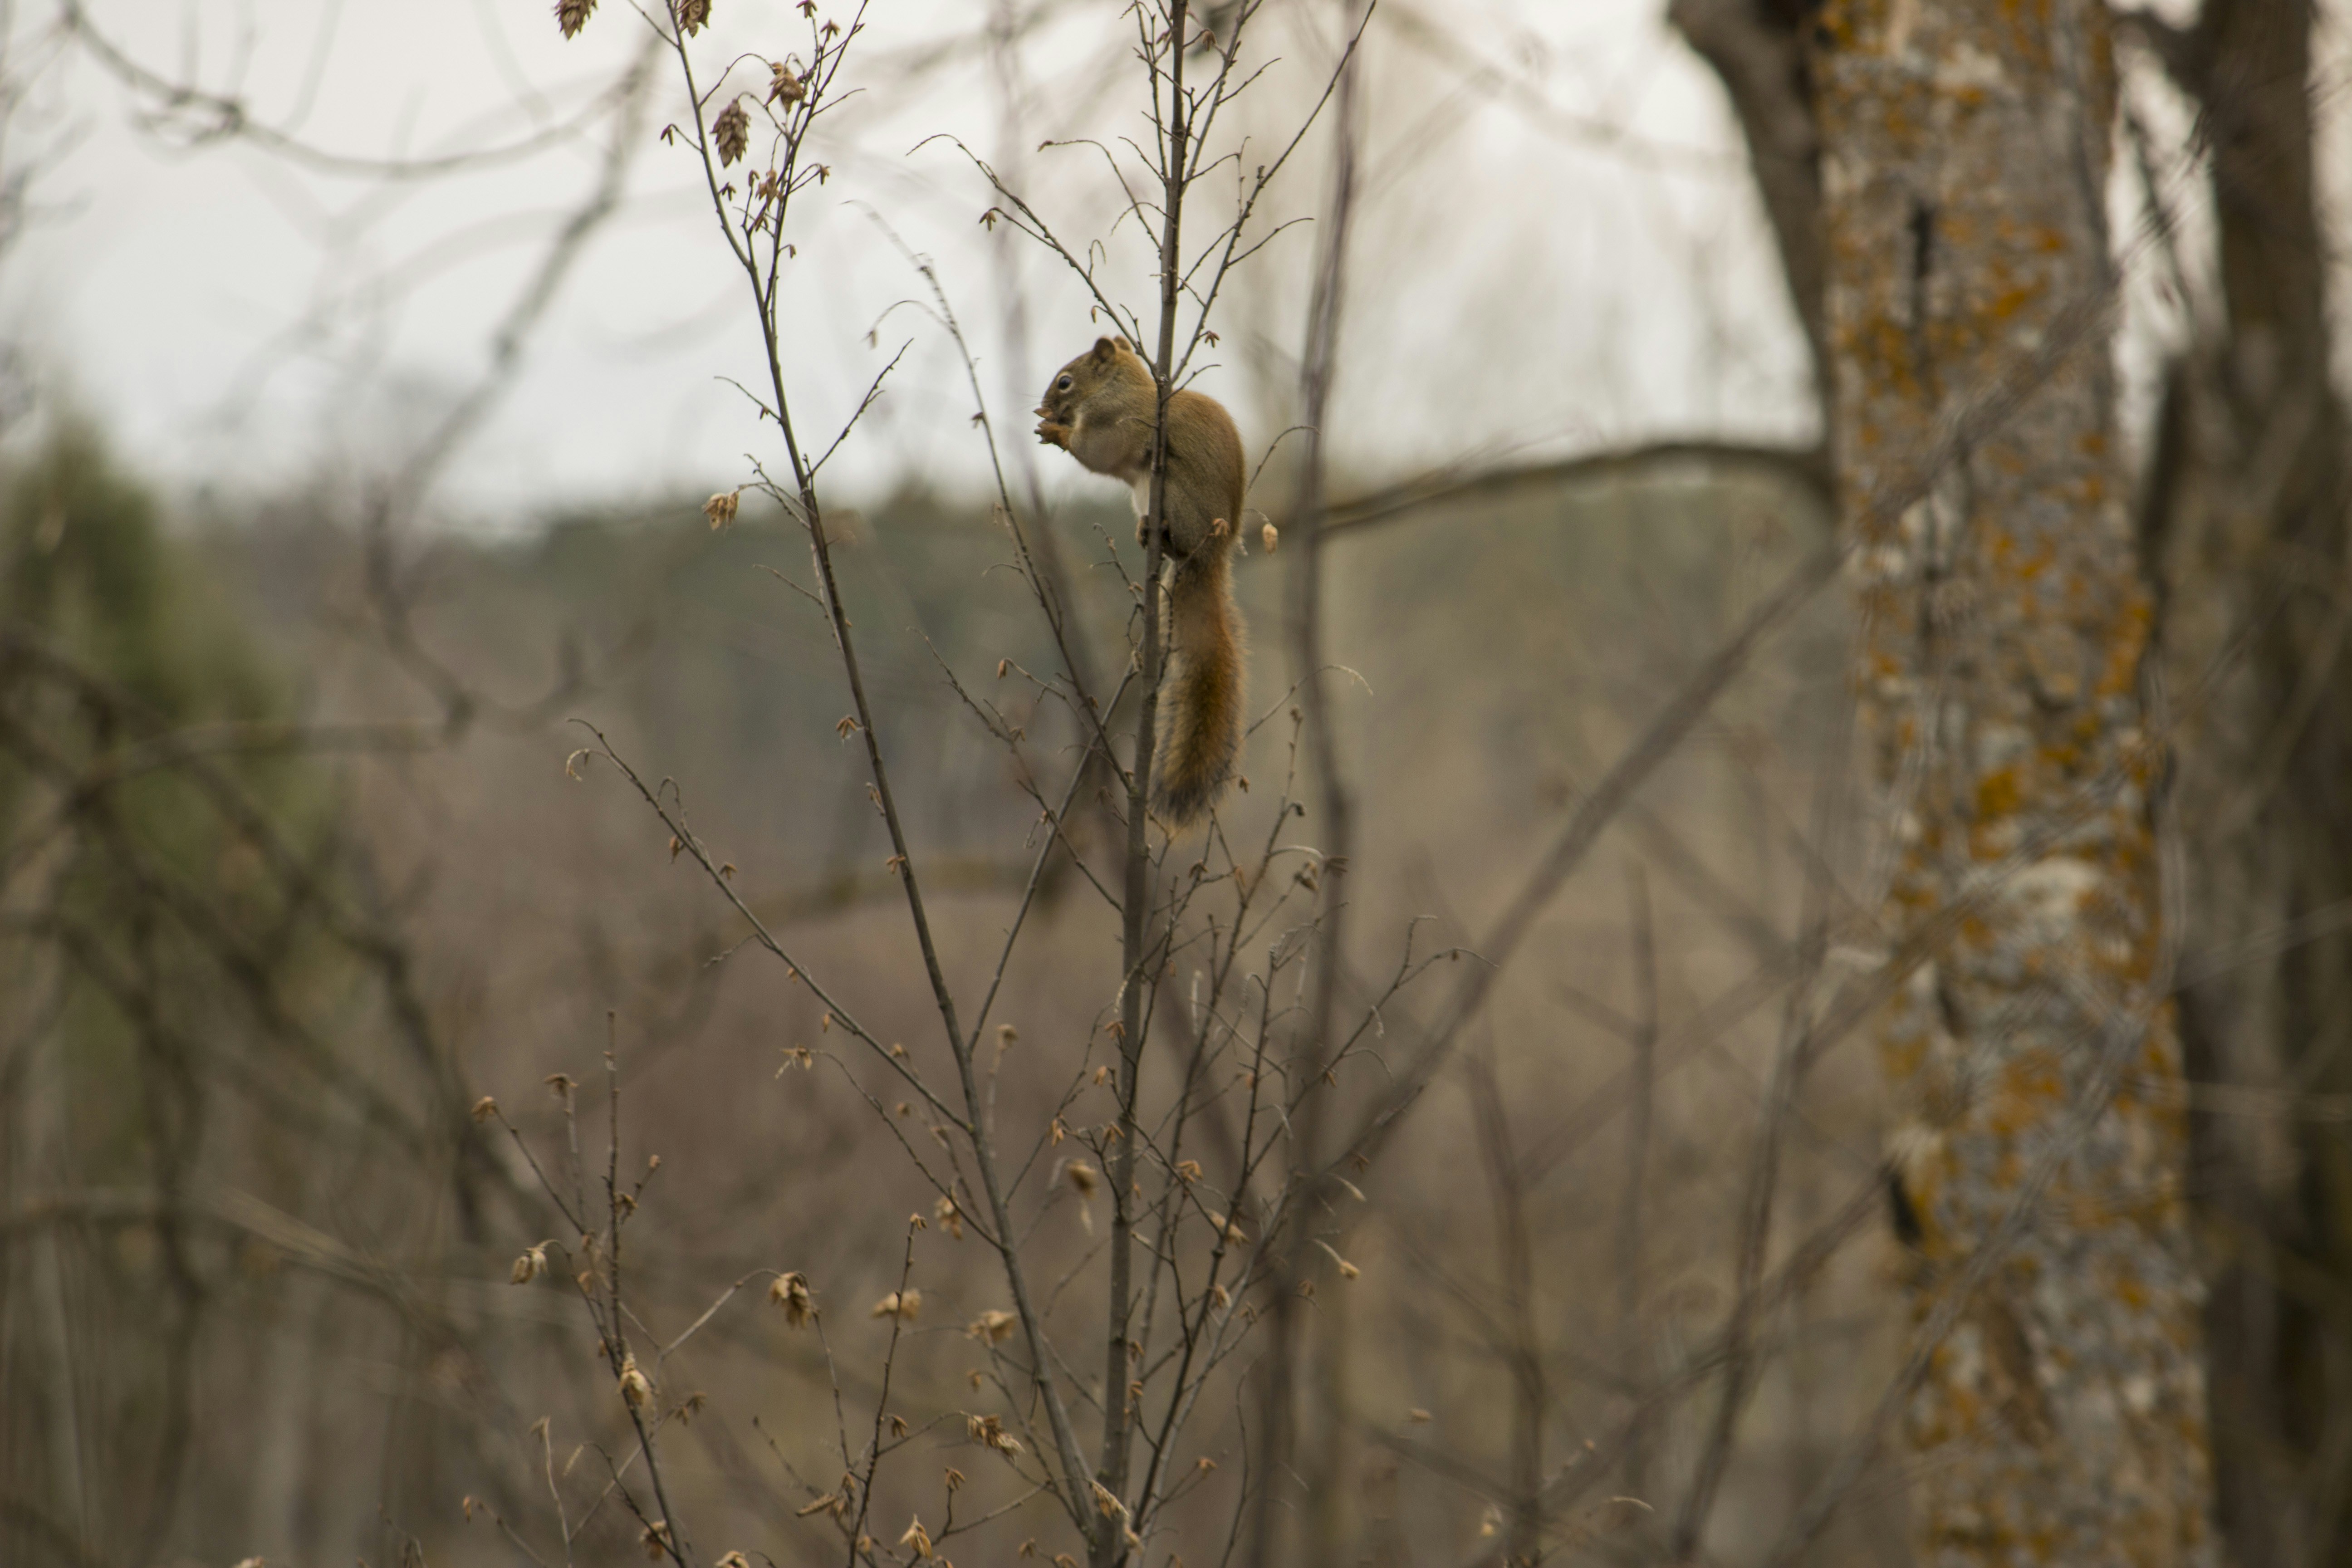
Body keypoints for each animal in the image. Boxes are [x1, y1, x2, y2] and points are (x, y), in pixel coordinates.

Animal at [1035, 335, 1246, 828]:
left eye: (1065, 381)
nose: (1044, 405)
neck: (1120, 387)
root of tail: (1212, 556)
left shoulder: (1120, 422)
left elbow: (1097, 449)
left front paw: (1056, 433)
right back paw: (1145, 531)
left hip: (1176, 495)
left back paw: (1162, 533)